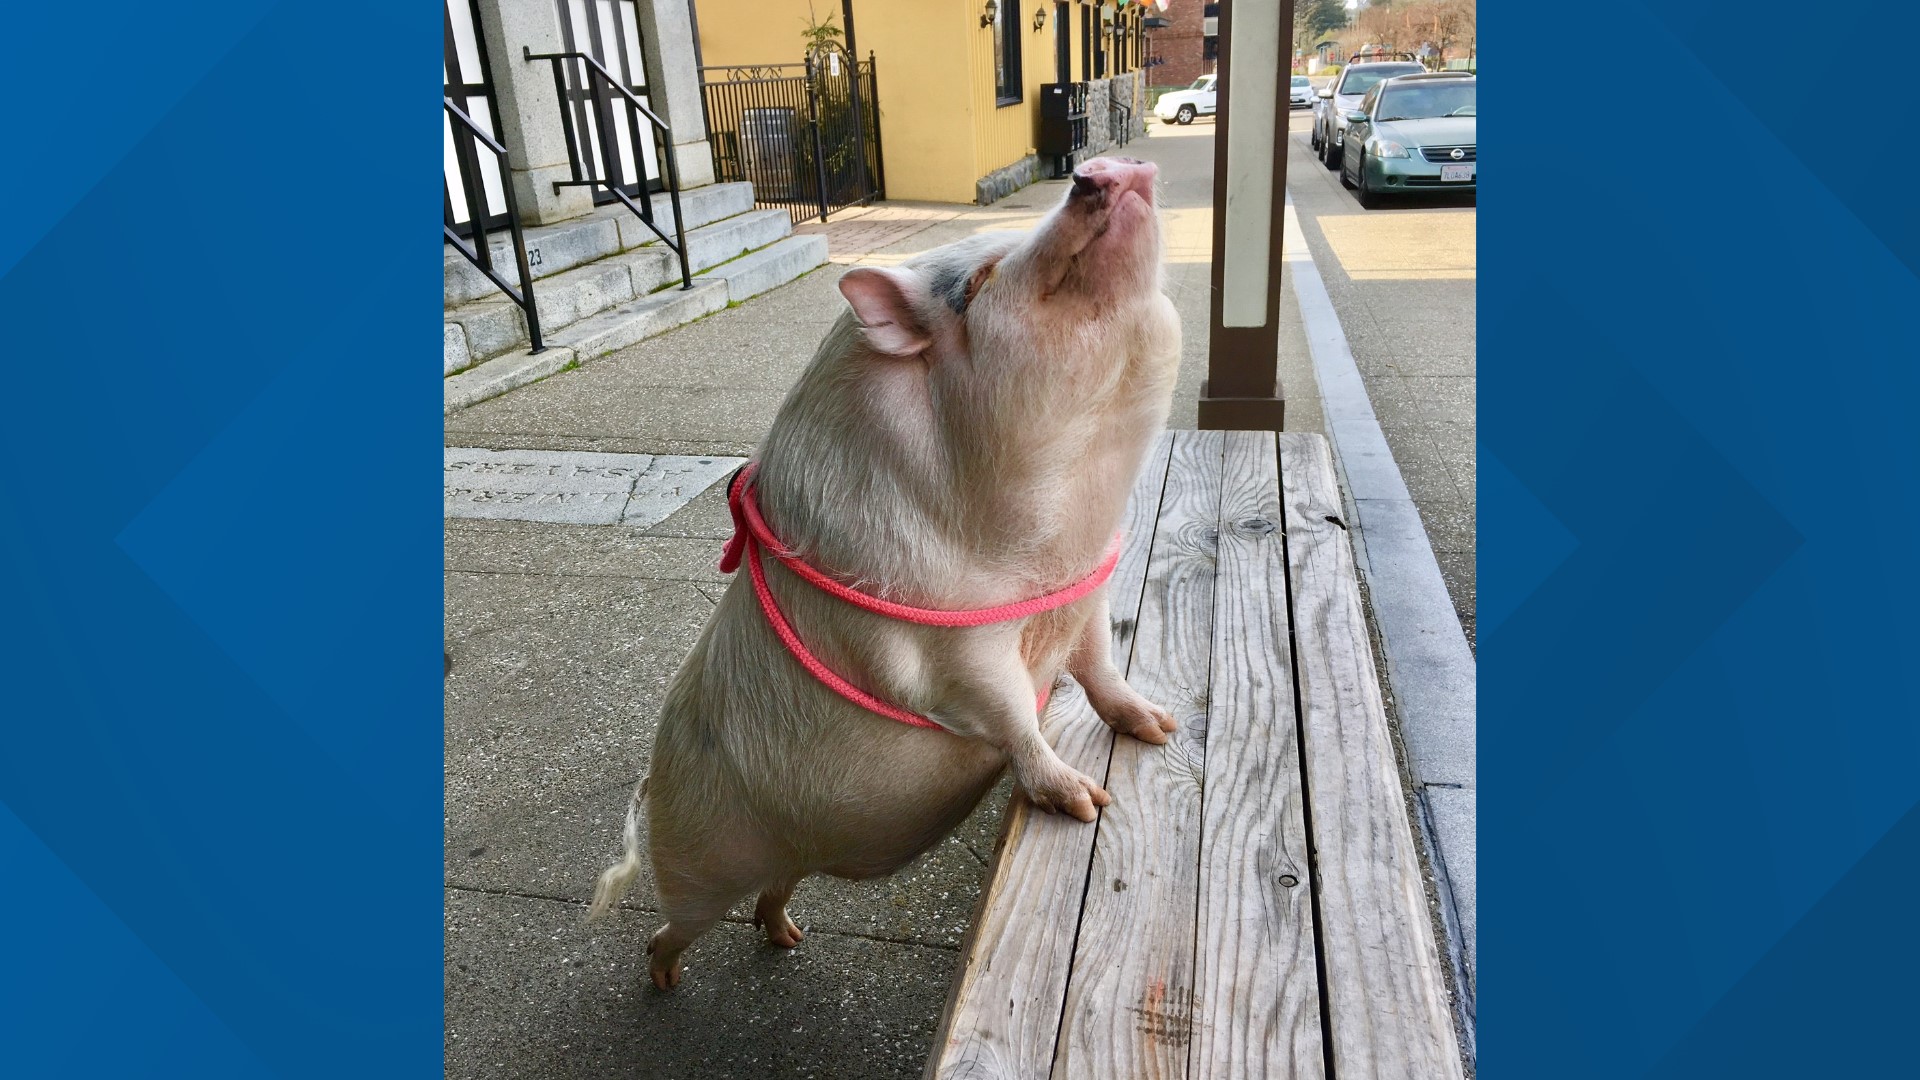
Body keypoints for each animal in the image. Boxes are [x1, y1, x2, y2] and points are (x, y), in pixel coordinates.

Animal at [589, 157, 1181, 990]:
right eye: (979, 283)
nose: (1099, 169)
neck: (1052, 553)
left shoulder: (1087, 596)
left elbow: (1101, 671)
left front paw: (1162, 729)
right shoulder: (945, 651)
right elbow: (1012, 715)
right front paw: (1088, 803)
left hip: (787, 860)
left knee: (774, 891)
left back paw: (789, 939)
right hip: (697, 871)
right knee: (671, 928)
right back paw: (665, 983)